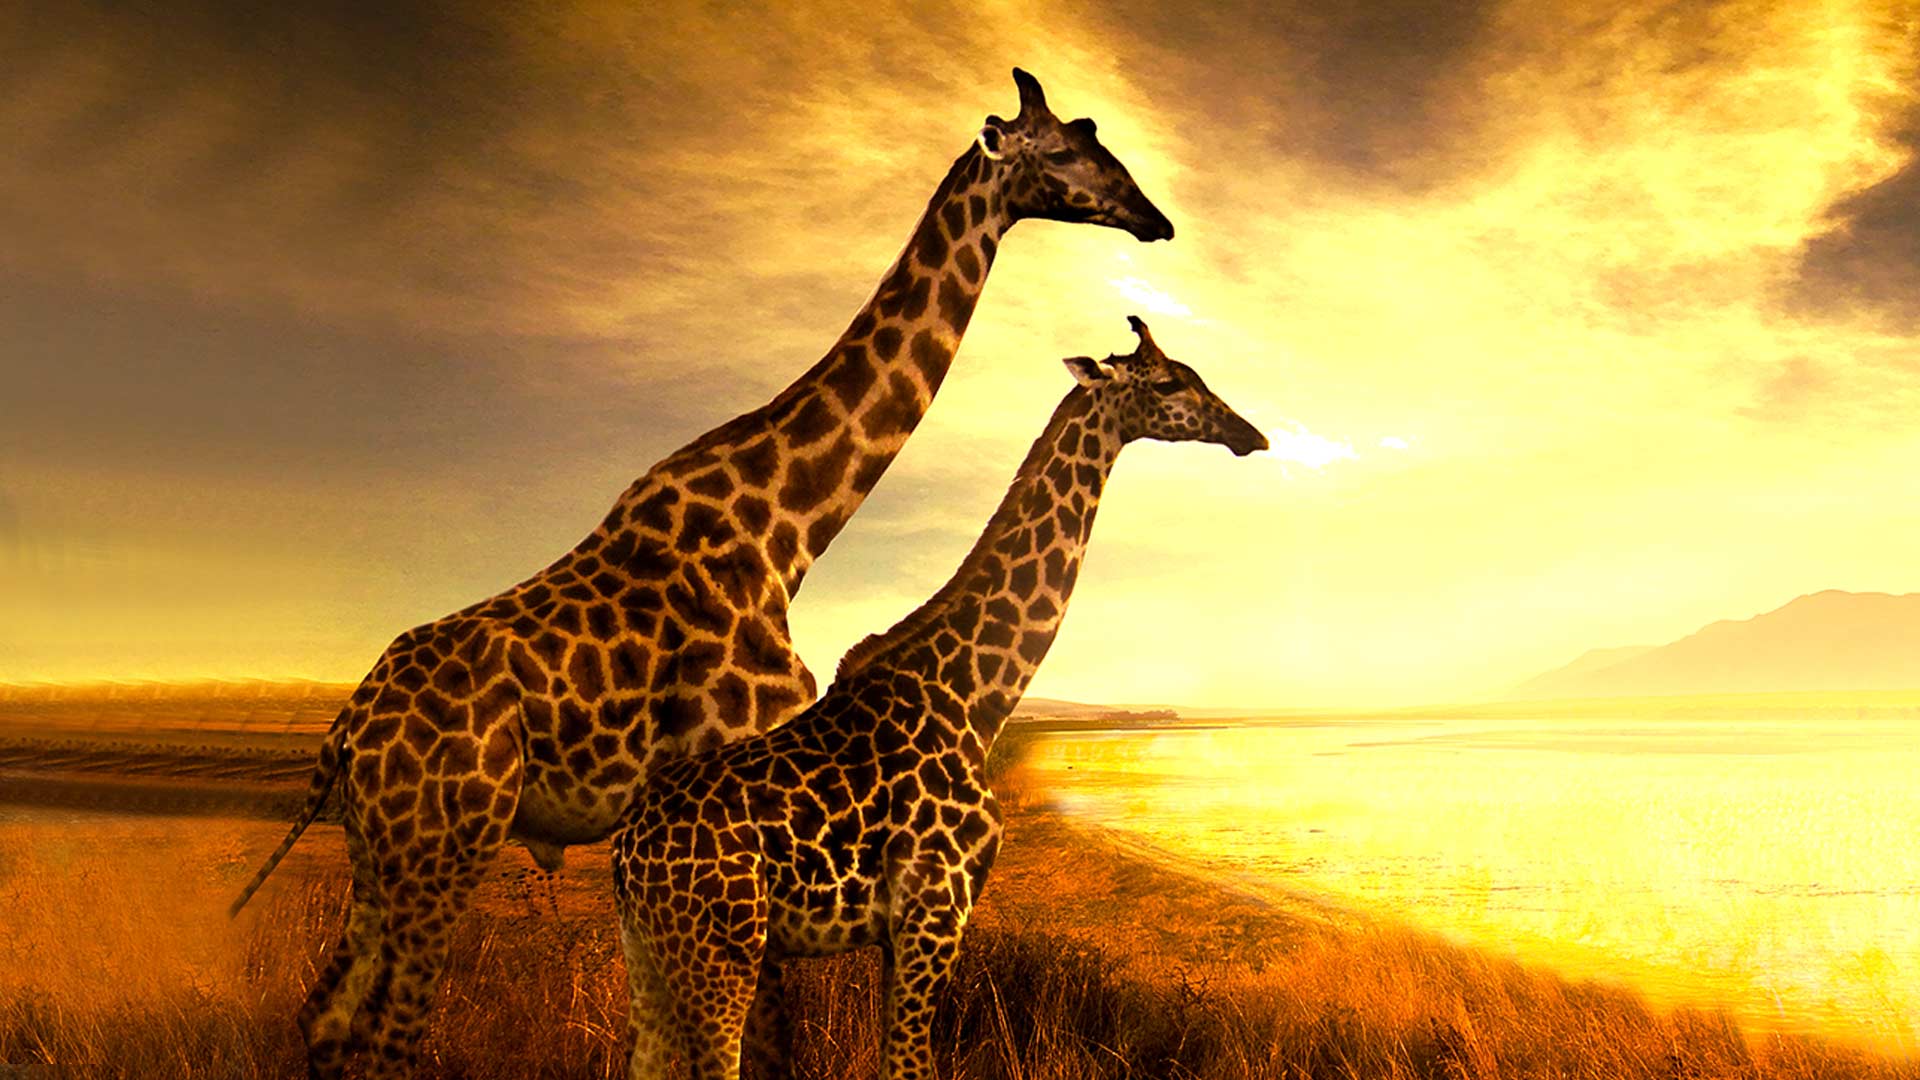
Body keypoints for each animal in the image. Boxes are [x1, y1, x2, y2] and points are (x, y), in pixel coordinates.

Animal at [224, 69, 1175, 1079]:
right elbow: (770, 1040)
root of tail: (345, 736)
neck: (790, 521)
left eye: (1096, 136)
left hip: (379, 857)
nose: (1153, 219)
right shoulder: (739, 759)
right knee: (391, 1036)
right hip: (443, 848)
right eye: (1066, 149)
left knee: (328, 1018)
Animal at [610, 316, 1268, 1080]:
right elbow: (908, 1064)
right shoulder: (933, 912)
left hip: (649, 956)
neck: (977, 699)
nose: (1250, 433)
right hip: (723, 952)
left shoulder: (902, 931)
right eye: (1167, 383)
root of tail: (624, 853)